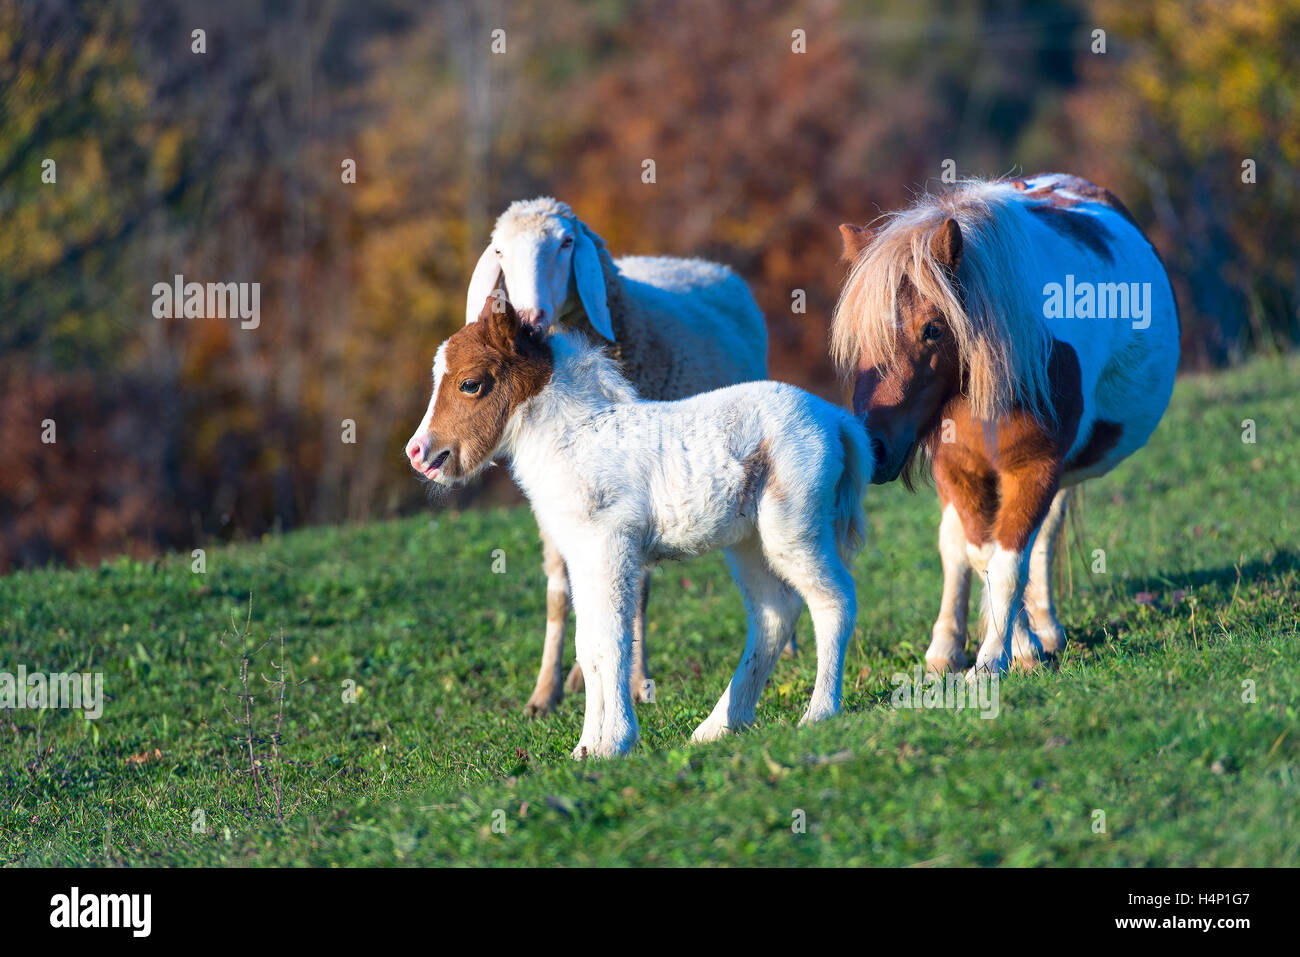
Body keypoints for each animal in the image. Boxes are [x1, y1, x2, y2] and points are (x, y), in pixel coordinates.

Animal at [406, 296, 870, 757]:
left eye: (470, 384)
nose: (418, 452)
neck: (575, 438)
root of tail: (835, 419)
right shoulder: (581, 556)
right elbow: (588, 645)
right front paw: (586, 749)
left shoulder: (610, 547)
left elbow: (612, 639)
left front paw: (615, 741)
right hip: (749, 543)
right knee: (775, 614)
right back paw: (718, 726)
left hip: (793, 528)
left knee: (834, 600)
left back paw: (818, 712)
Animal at [462, 197, 768, 716]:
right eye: (500, 251)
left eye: (566, 243)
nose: (529, 314)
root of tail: (687, 260)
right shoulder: (554, 500)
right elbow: (559, 591)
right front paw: (544, 692)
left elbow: (636, 590)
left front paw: (635, 683)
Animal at [833, 173, 1179, 675]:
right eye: (861, 336)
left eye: (933, 329)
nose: (873, 448)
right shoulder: (959, 471)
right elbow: (984, 557)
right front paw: (1014, 646)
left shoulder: (1036, 467)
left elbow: (1011, 561)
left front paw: (1001, 658)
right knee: (955, 547)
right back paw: (946, 646)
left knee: (1043, 538)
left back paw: (1045, 628)